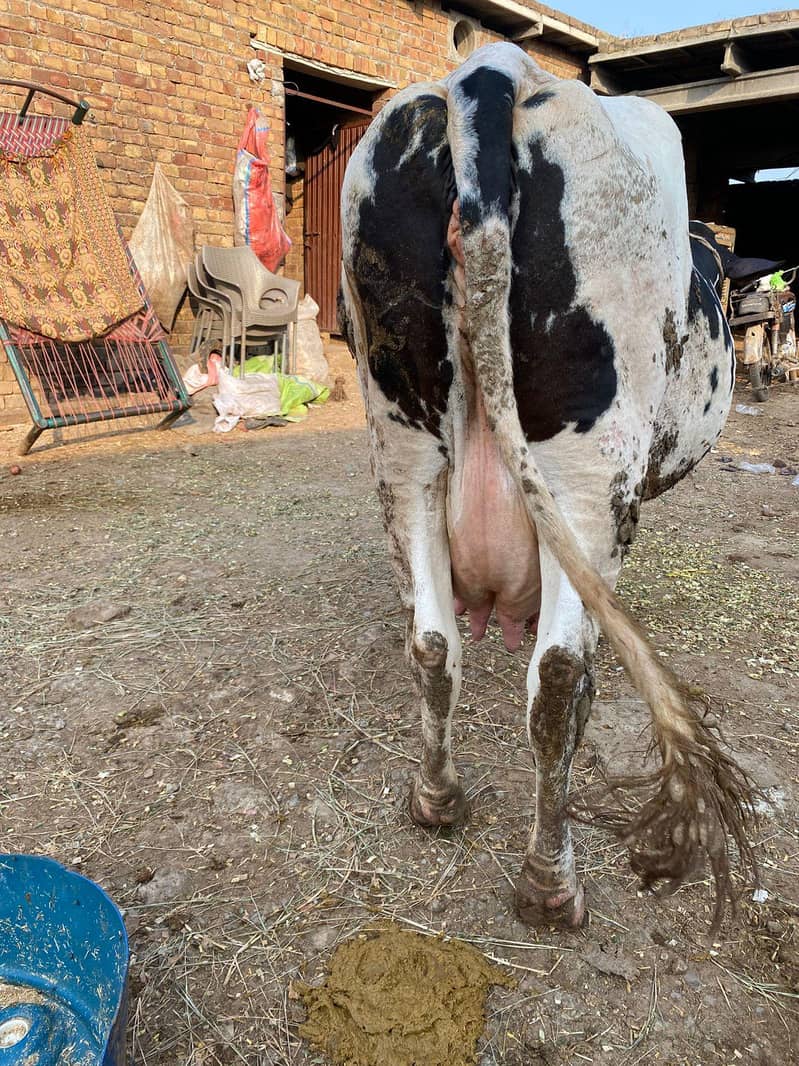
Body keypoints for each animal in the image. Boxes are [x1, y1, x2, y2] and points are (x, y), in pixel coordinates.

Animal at [339, 42, 756, 930]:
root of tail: (495, 71)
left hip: (402, 447)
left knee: (432, 644)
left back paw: (437, 799)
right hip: (590, 476)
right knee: (561, 678)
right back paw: (549, 882)